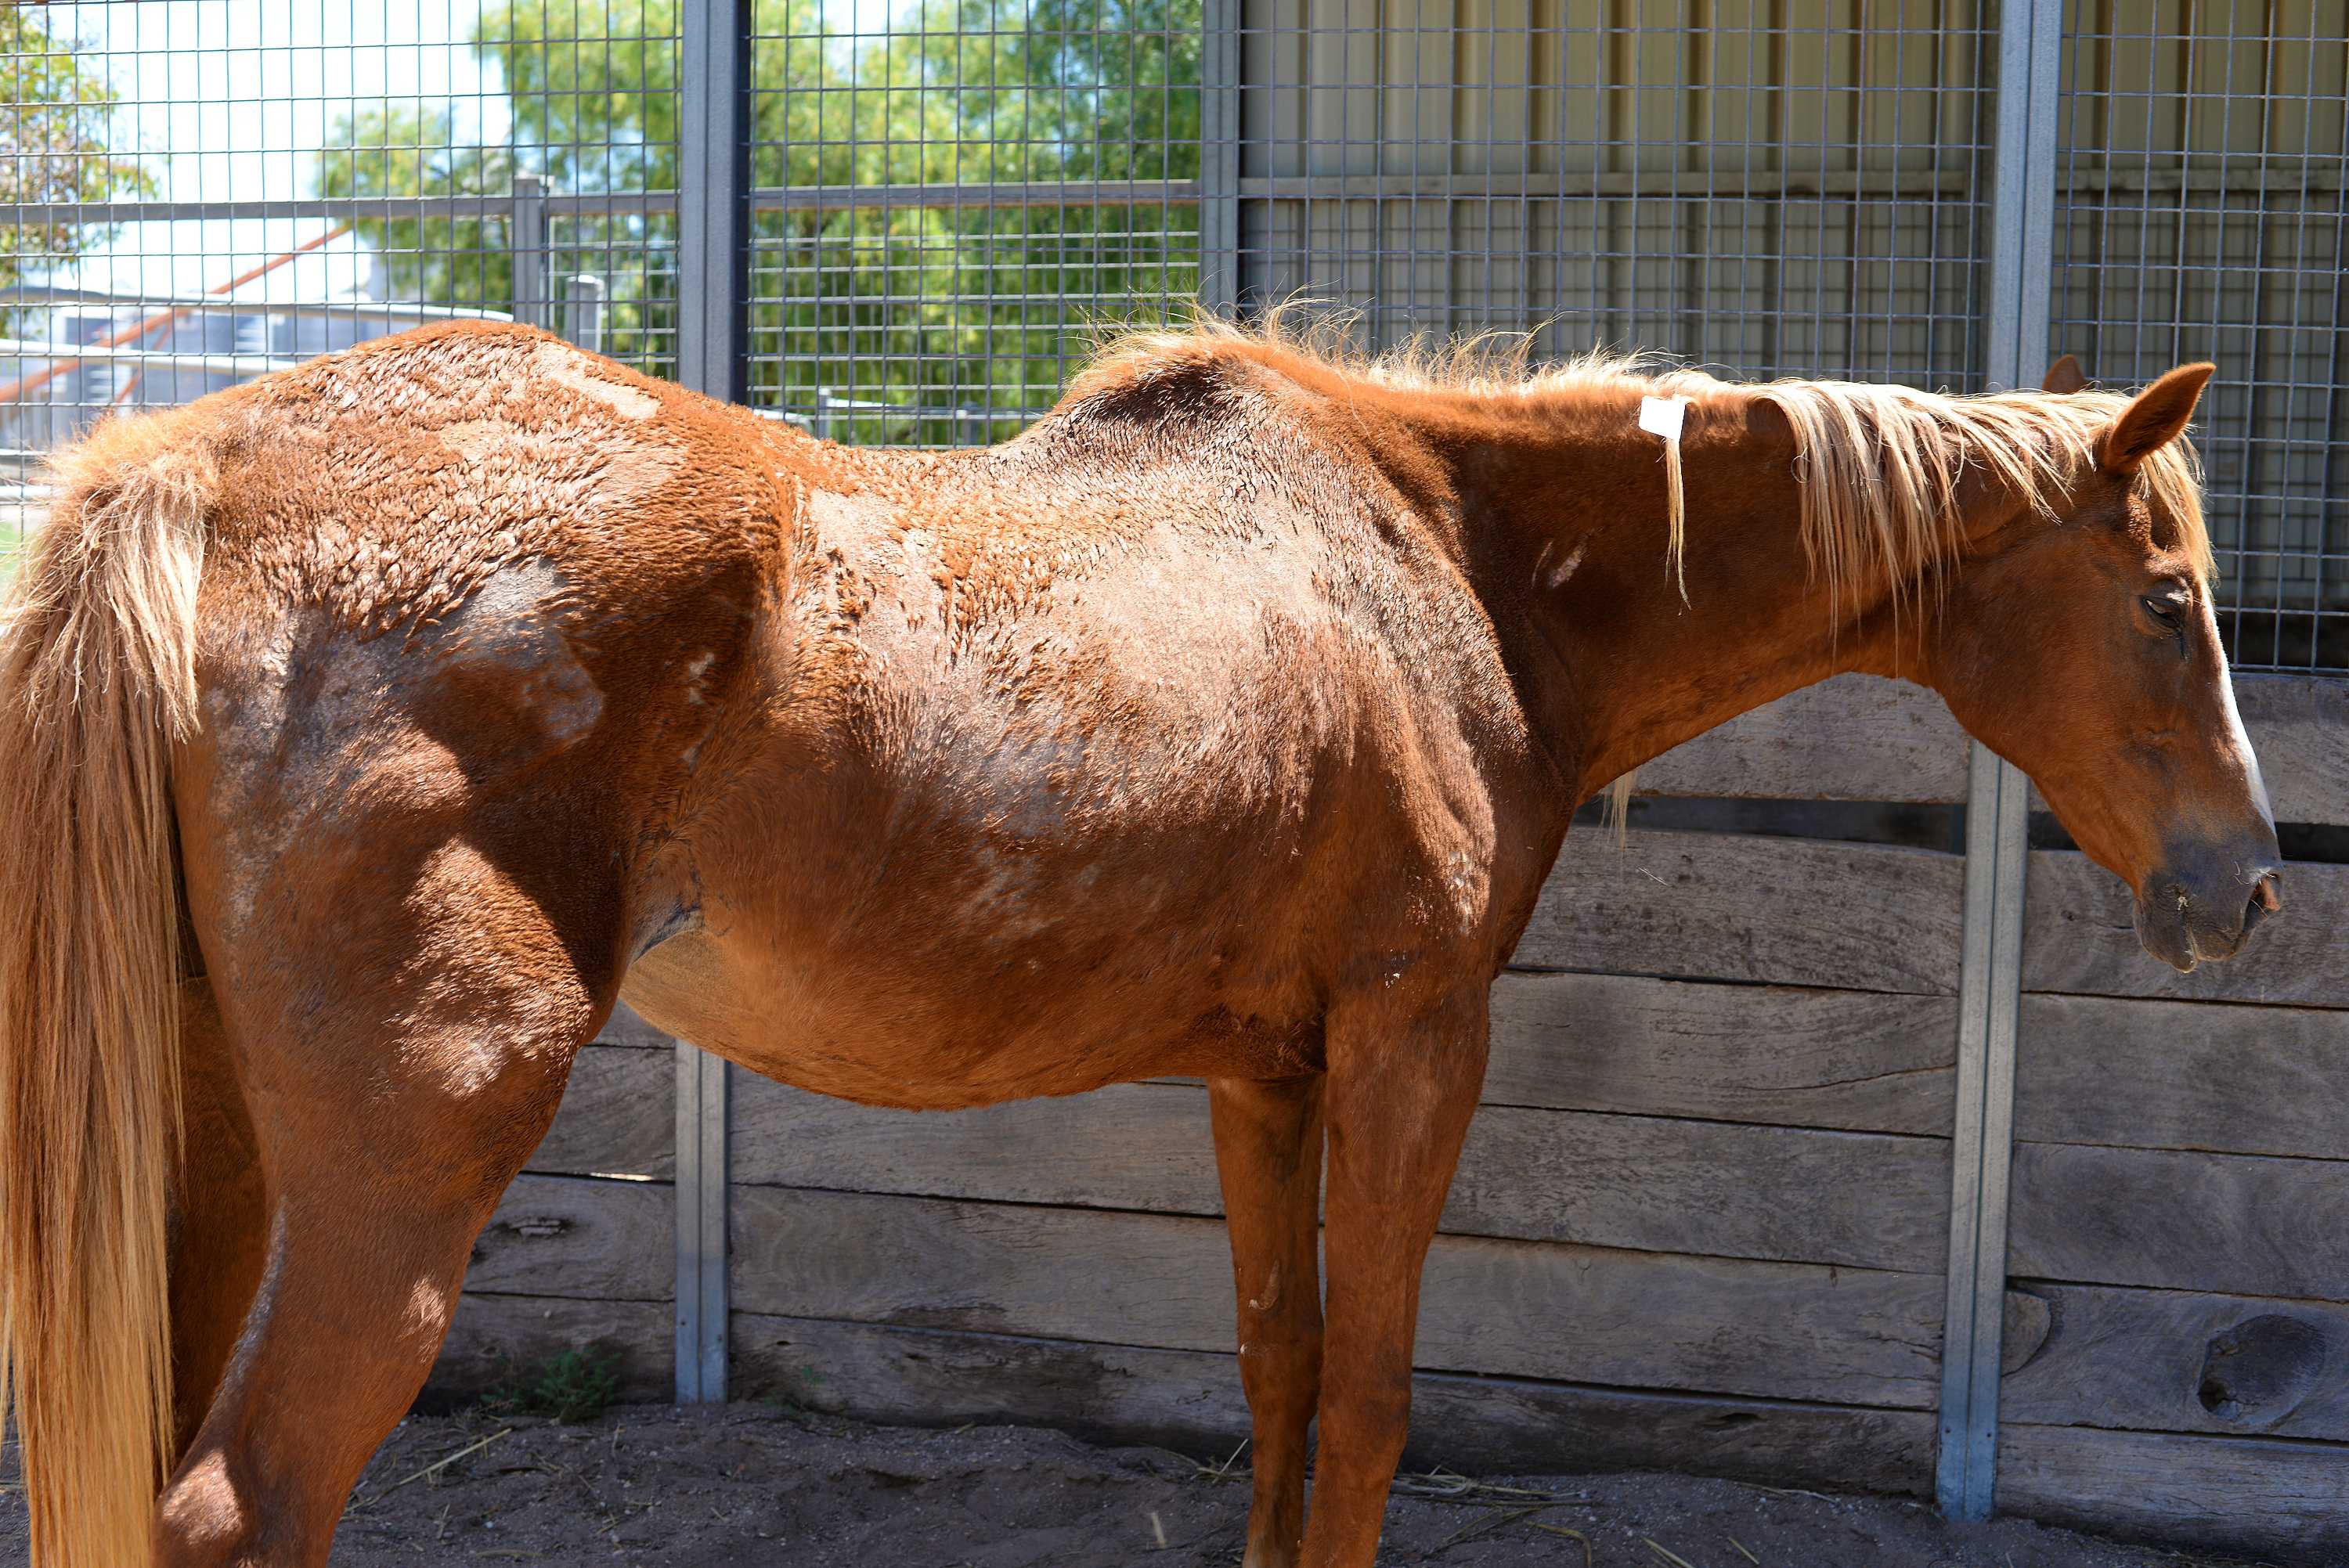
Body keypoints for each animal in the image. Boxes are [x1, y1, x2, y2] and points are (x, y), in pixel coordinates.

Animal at [0, 318, 2280, 1567]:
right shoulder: (1415, 1041)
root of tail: (183, 462)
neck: (1435, 560)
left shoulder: (1262, 1076)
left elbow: (1278, 1375)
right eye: (2169, 600)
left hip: (206, 1153)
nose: (2245, 884)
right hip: (401, 1175)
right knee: (240, 1509)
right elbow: (1368, 1401)